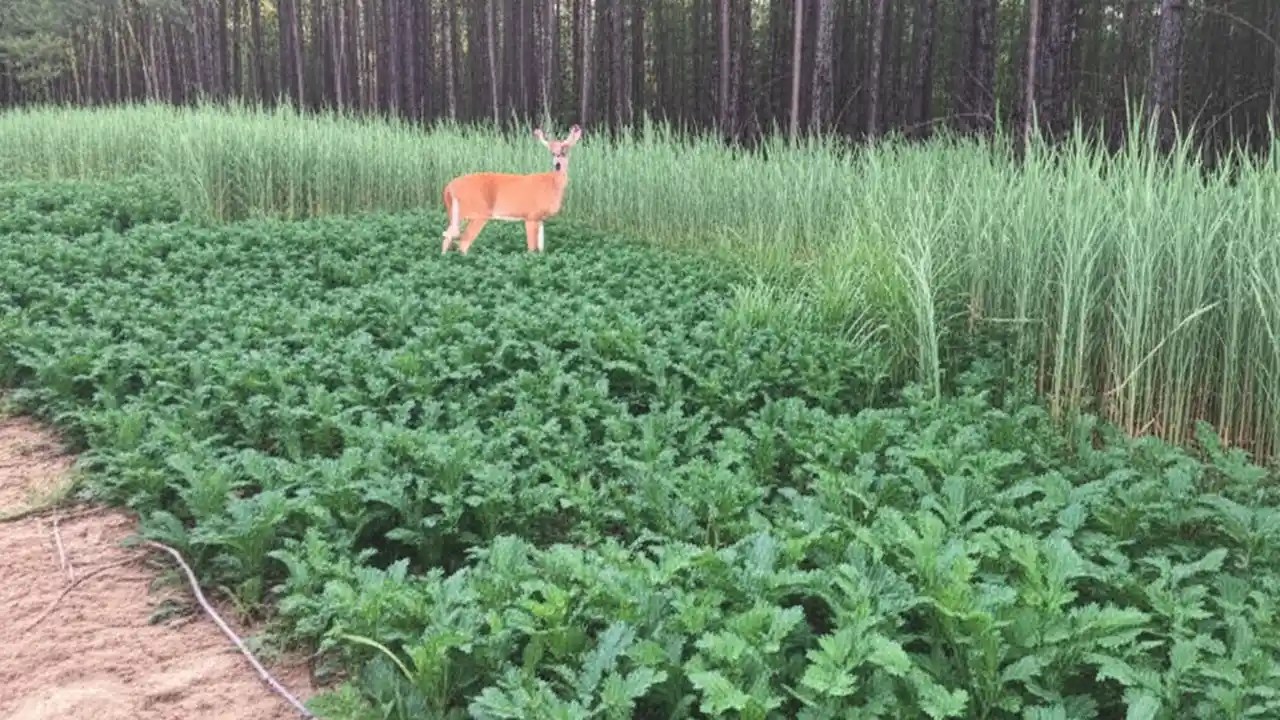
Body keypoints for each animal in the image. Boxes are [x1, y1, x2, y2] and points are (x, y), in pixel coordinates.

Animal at [440, 124, 583, 255]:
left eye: (564, 152)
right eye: (553, 153)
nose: (557, 165)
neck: (552, 185)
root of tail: (449, 188)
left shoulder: (540, 218)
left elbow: (541, 247)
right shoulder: (530, 215)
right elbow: (531, 248)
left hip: (456, 214)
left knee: (448, 237)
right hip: (478, 212)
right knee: (463, 242)